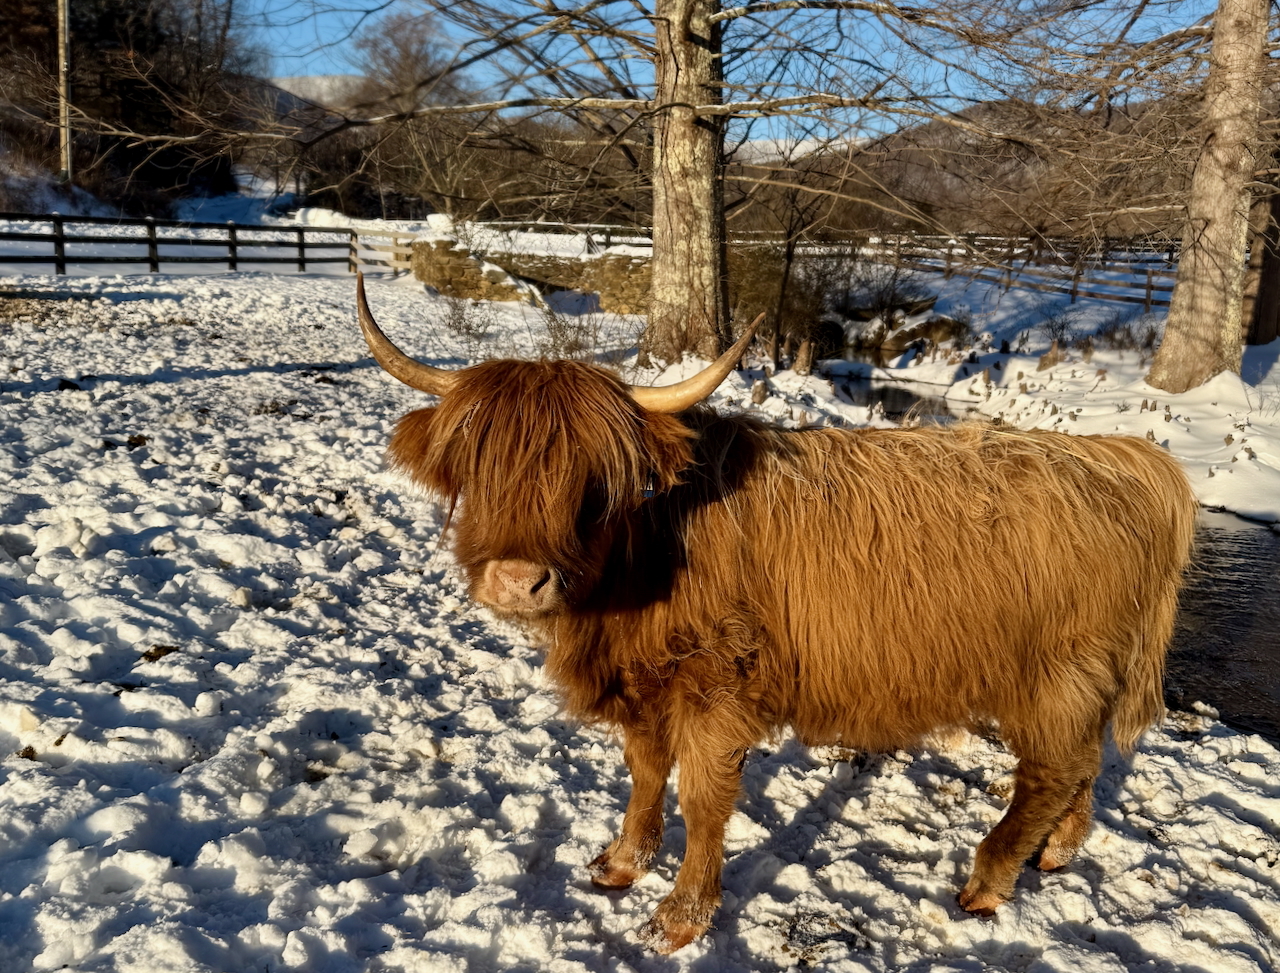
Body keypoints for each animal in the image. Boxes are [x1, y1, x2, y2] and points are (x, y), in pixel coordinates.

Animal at [355, 274, 1196, 953]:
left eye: (593, 478)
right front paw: (622, 861)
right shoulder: (647, 685)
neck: (648, 554)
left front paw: (679, 918)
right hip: (1079, 682)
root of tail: (1121, 458)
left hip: (1053, 677)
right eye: (481, 463)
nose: (518, 580)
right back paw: (1055, 850)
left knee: (1052, 770)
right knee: (1083, 763)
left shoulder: (717, 687)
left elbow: (703, 798)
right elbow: (644, 770)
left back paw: (989, 879)